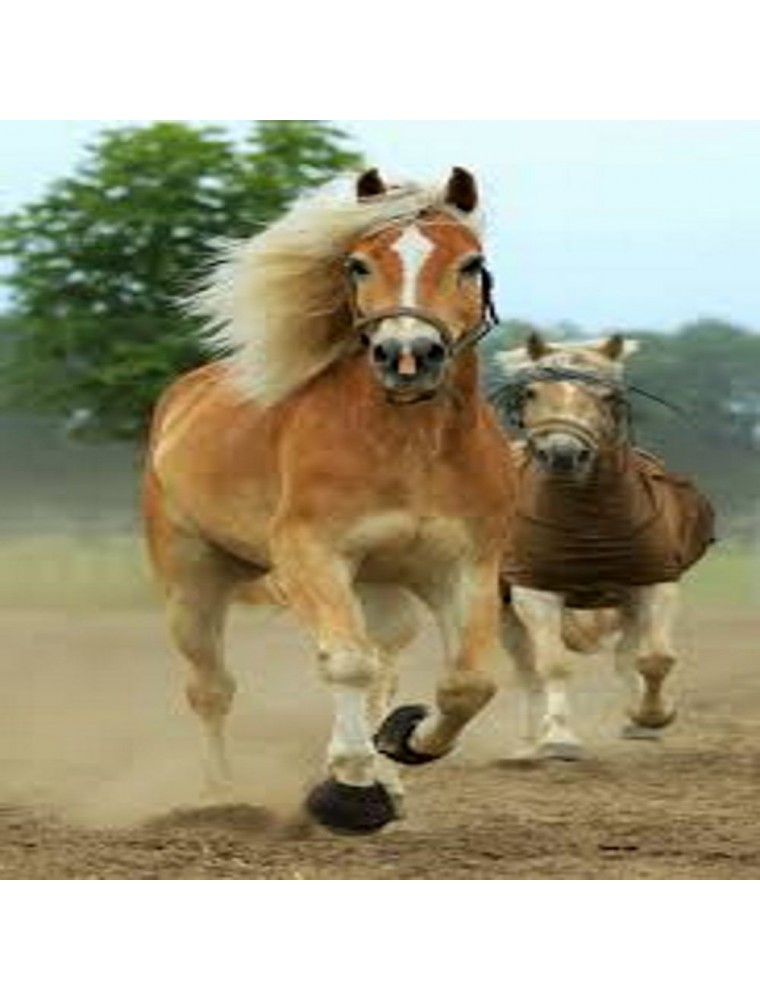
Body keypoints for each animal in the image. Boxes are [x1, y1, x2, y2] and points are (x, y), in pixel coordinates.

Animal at [142, 167, 516, 834]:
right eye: (359, 264)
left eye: (471, 264)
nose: (407, 356)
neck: (410, 447)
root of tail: (183, 396)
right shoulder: (310, 555)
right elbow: (345, 663)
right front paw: (347, 791)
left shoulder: (466, 567)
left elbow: (467, 684)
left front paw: (400, 743)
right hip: (191, 584)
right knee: (212, 688)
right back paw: (220, 795)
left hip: (385, 592)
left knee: (384, 664)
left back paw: (388, 776)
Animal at [492, 332, 715, 759]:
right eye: (531, 392)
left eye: (607, 395)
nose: (562, 454)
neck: (589, 518)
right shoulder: (533, 589)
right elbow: (553, 665)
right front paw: (558, 740)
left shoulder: (652, 583)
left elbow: (655, 658)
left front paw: (651, 716)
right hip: (504, 608)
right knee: (528, 671)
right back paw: (528, 743)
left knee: (627, 656)